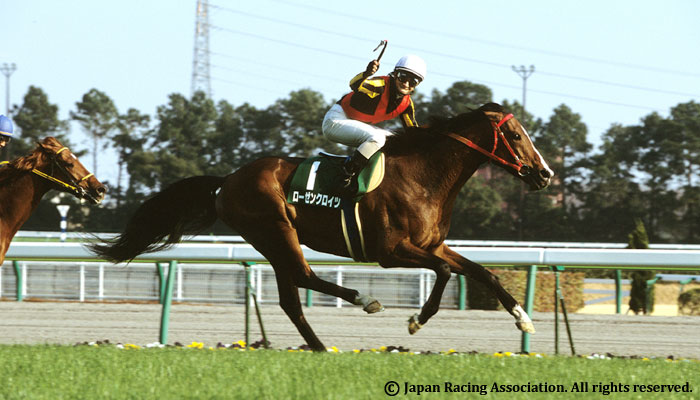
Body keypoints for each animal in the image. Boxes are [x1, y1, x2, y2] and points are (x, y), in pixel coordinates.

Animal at [90, 102, 553, 351]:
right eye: (515, 135)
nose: (545, 174)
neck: (423, 175)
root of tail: (227, 180)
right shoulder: (390, 252)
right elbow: (442, 274)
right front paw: (416, 321)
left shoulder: (433, 245)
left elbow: (483, 272)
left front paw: (523, 319)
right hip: (275, 229)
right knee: (303, 275)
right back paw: (364, 301)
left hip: (272, 240)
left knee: (292, 296)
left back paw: (318, 346)